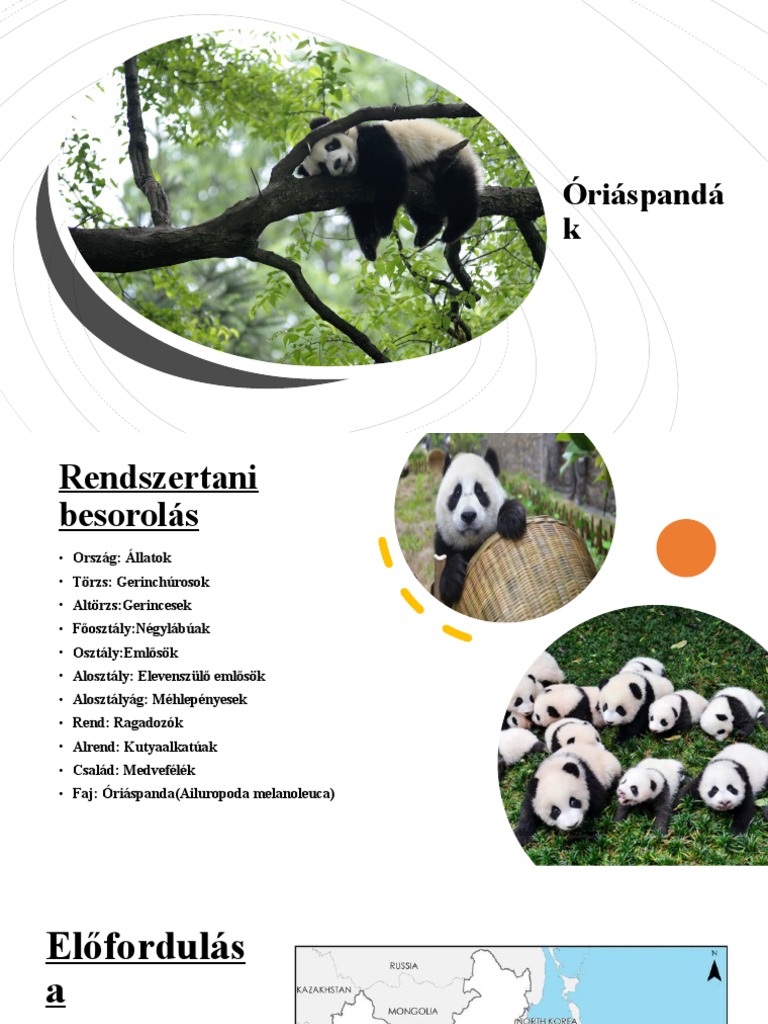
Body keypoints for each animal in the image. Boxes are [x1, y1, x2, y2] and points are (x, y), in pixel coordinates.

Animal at [297, 116, 483, 260]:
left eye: (331, 146)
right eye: (322, 166)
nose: (337, 163)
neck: (356, 164)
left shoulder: (373, 140)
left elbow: (391, 173)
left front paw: (384, 224)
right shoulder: (351, 188)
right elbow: (360, 211)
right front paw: (368, 243)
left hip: (452, 157)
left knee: (458, 189)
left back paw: (455, 228)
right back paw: (428, 228)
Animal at [434, 449, 526, 608]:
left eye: (479, 491)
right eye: (457, 493)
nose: (468, 515)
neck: (471, 544)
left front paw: (511, 522)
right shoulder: (442, 542)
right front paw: (452, 579)